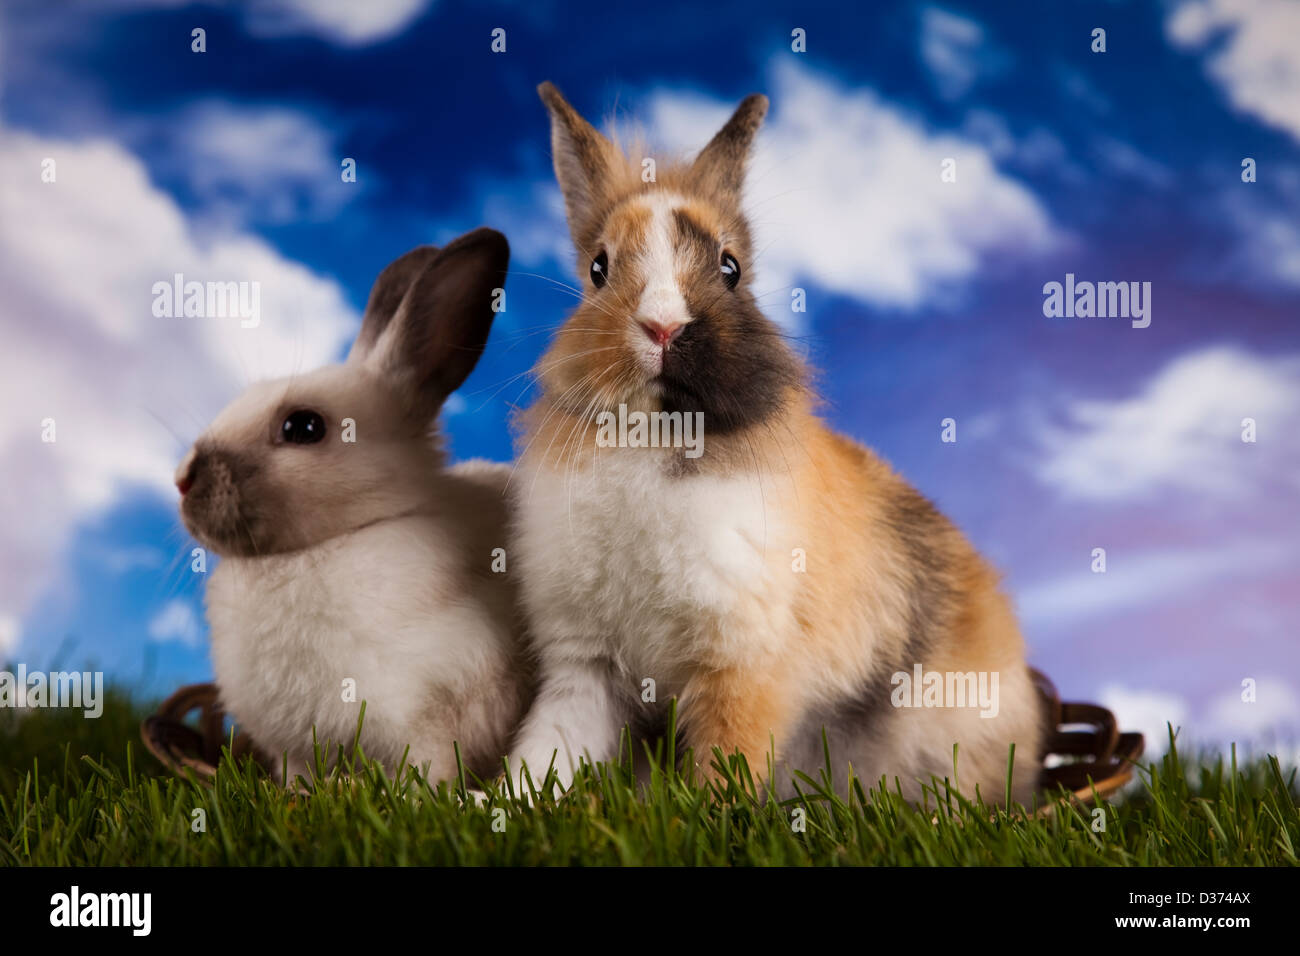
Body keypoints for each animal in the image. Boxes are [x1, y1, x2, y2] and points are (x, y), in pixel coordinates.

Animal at [175, 228, 531, 787]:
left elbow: (426, 772)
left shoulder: (434, 712)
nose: (182, 479)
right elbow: (297, 779)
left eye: (303, 427)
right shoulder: (293, 751)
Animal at [505, 83, 1044, 806]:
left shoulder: (743, 666)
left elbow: (725, 759)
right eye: (598, 267)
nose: (662, 327)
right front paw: (490, 803)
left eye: (731, 268)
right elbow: (550, 750)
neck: (654, 439)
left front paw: (703, 814)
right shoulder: (583, 664)